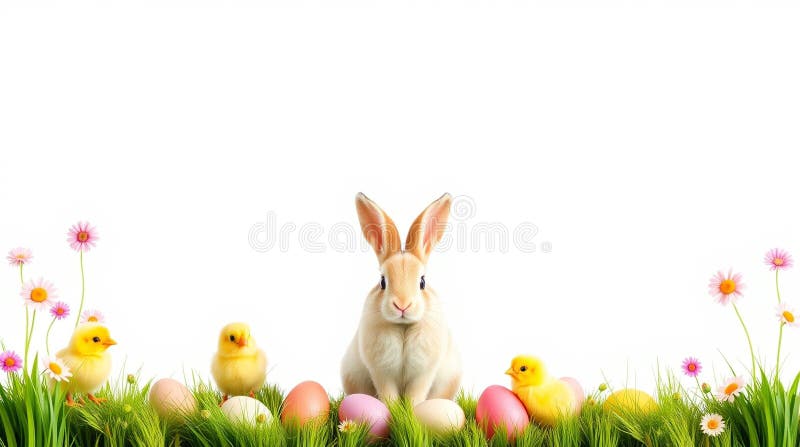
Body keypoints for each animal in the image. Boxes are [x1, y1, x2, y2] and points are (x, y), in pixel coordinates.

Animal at [341, 192, 462, 405]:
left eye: (422, 281)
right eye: (382, 281)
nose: (402, 305)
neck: (403, 326)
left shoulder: (423, 374)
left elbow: (415, 396)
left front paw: (412, 412)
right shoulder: (382, 372)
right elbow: (389, 396)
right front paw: (393, 411)